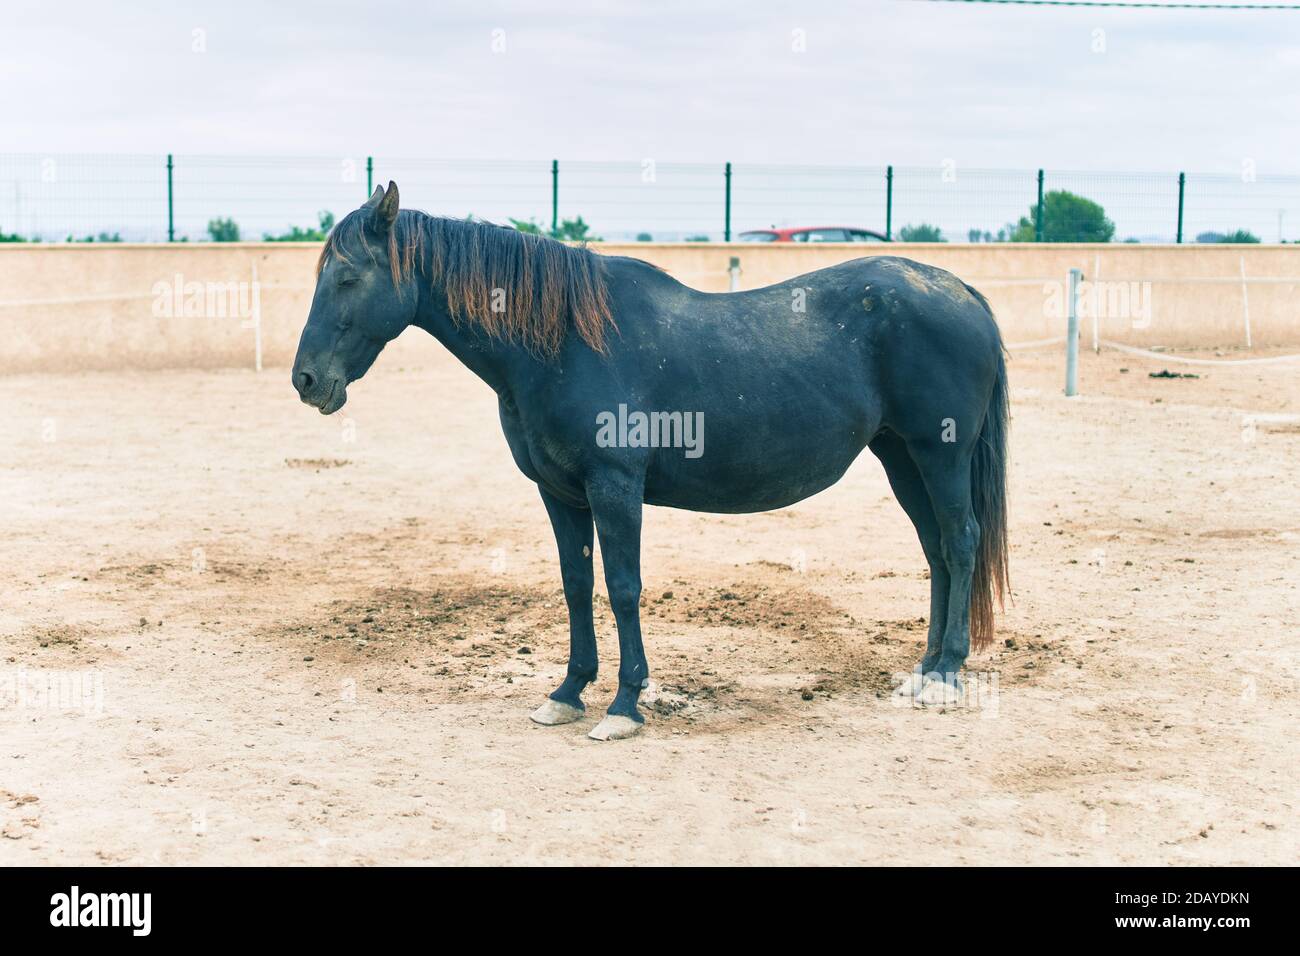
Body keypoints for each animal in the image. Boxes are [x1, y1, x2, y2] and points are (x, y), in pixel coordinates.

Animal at [292, 182, 1009, 740]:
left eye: (348, 278)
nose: (306, 380)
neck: (562, 341)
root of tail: (960, 290)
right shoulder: (561, 494)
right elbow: (576, 584)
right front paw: (567, 692)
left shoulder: (615, 488)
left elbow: (623, 588)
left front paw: (624, 704)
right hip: (902, 458)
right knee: (937, 551)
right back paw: (924, 671)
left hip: (939, 454)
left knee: (960, 540)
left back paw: (947, 674)